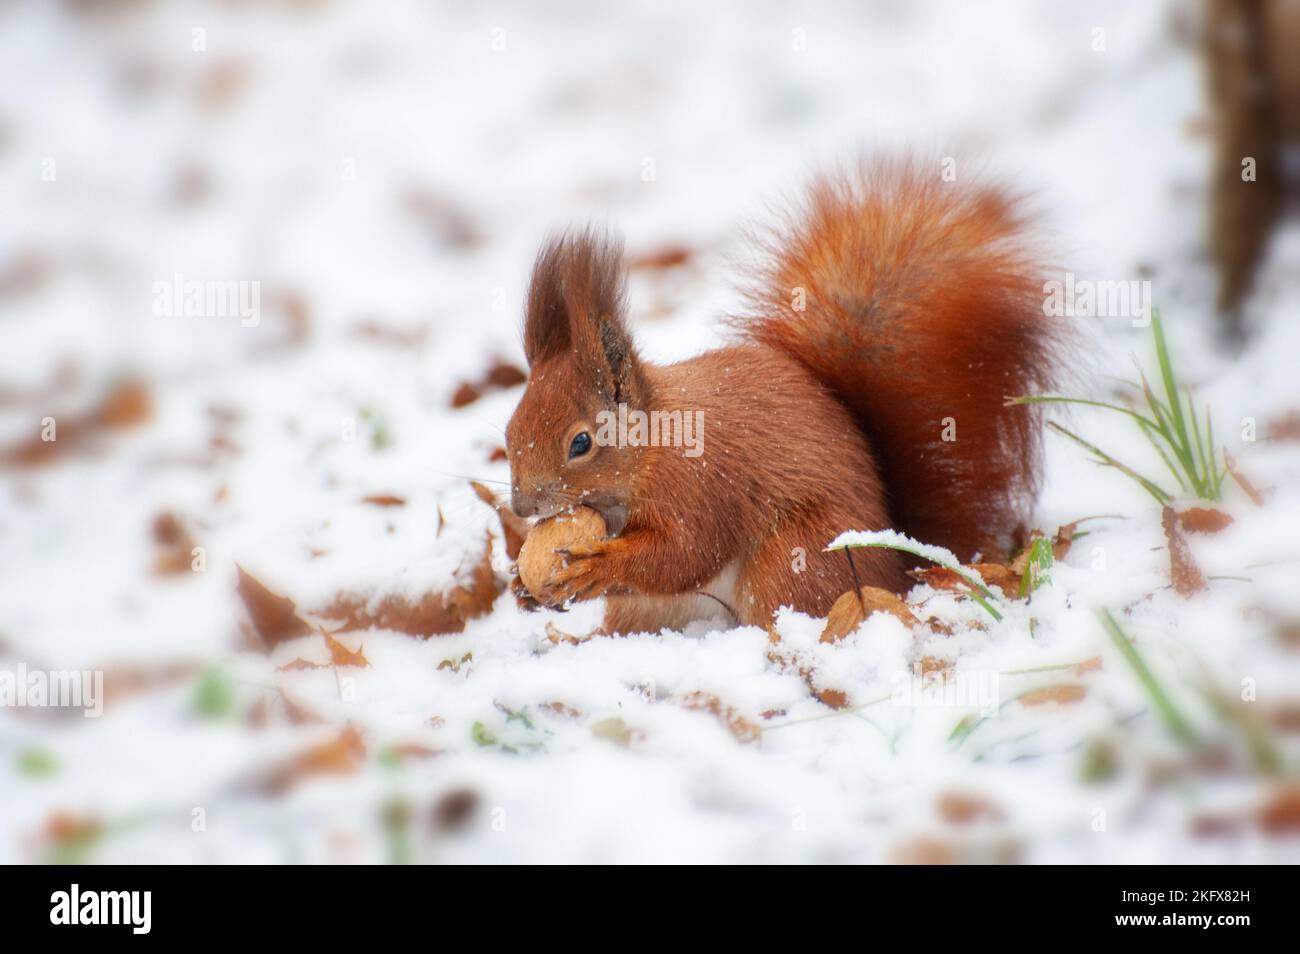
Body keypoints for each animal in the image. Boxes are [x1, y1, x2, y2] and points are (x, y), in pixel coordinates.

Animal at [504, 157, 1064, 634]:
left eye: (580, 444)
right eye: (509, 431)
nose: (522, 505)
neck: (653, 447)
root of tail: (895, 568)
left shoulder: (697, 485)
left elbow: (684, 552)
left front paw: (598, 564)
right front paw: (521, 583)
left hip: (792, 559)